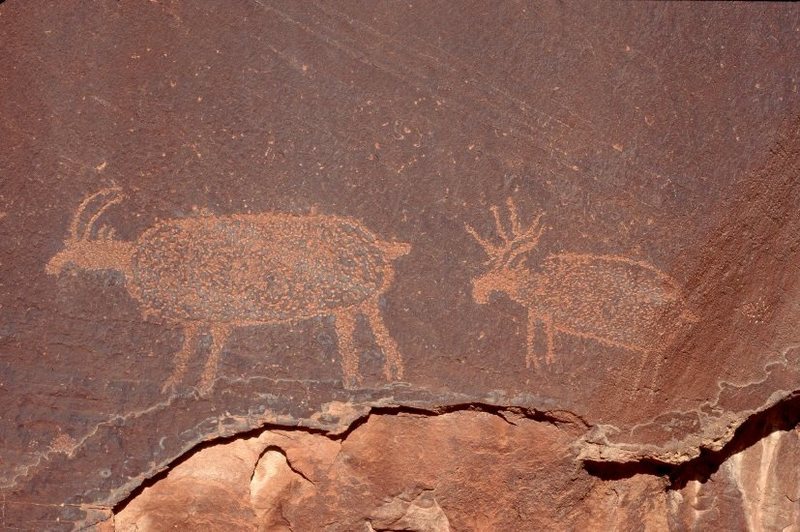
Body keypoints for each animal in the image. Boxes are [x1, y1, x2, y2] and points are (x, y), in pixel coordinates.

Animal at [46, 187, 411, 394]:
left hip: (358, 299)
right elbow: (189, 348)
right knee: (358, 334)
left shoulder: (219, 313)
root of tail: (380, 246)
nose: (50, 267)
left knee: (372, 331)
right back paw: (367, 380)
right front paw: (173, 385)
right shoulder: (197, 317)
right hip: (349, 305)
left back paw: (384, 377)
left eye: (78, 249)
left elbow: (213, 348)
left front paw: (203, 387)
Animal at [466, 198, 698, 371]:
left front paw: (548, 361)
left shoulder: (549, 312)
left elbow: (547, 335)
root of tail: (684, 306)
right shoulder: (536, 311)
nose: (478, 291)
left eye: (505, 274)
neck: (536, 282)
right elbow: (533, 333)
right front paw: (534, 361)